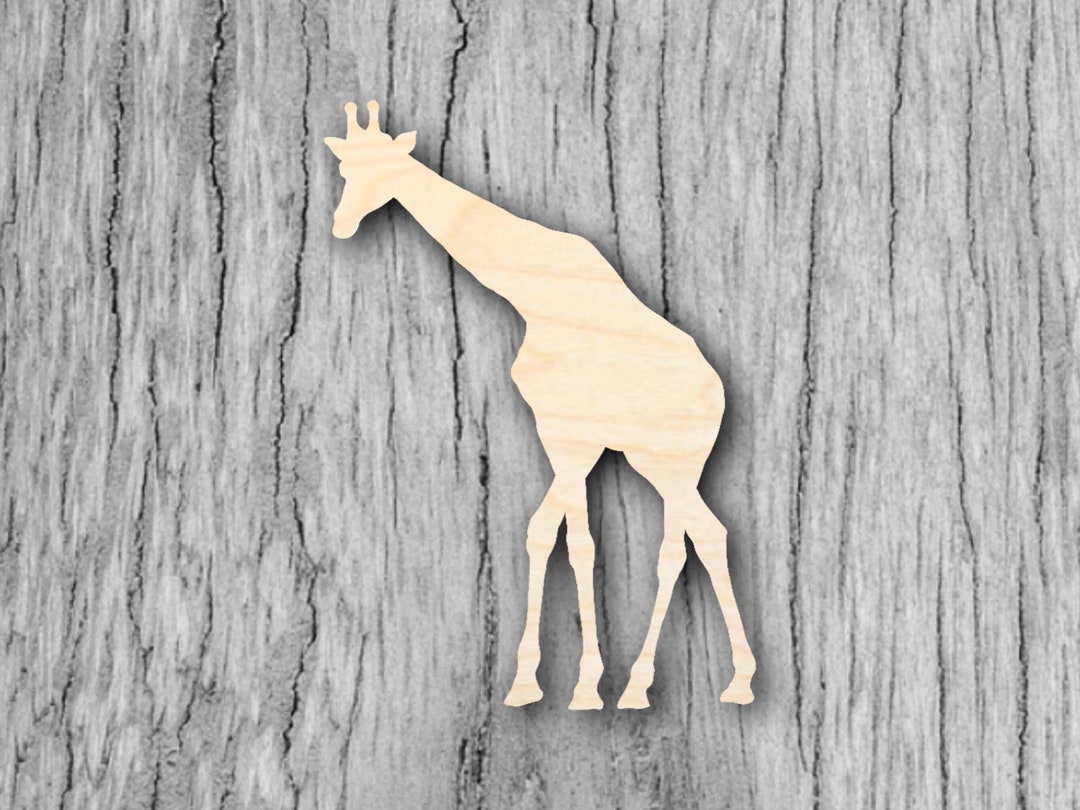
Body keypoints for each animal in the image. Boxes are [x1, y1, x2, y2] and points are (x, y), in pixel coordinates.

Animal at [324, 100, 756, 710]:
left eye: (379, 172)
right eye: (346, 170)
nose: (342, 225)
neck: (535, 295)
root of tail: (718, 395)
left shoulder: (570, 436)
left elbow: (571, 538)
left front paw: (576, 686)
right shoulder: (564, 436)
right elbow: (552, 532)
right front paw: (540, 682)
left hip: (669, 462)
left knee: (698, 539)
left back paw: (697, 684)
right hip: (663, 465)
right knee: (692, 538)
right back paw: (667, 684)